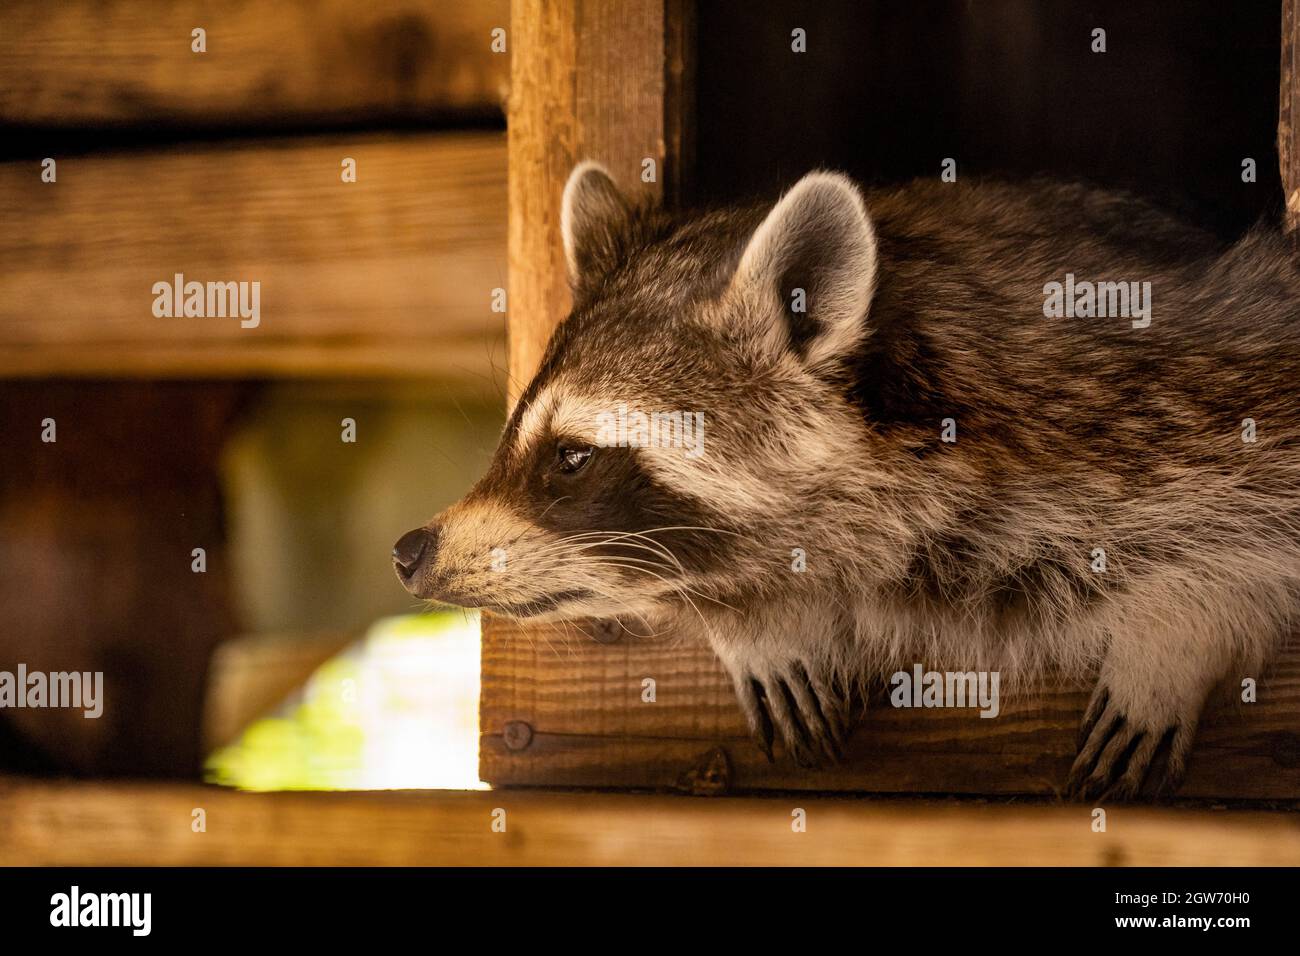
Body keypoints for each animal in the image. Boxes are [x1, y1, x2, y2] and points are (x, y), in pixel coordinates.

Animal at [395, 162, 1300, 800]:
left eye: (571, 458)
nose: (410, 550)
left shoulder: (1160, 395)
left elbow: (1258, 533)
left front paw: (1183, 628)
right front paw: (758, 626)